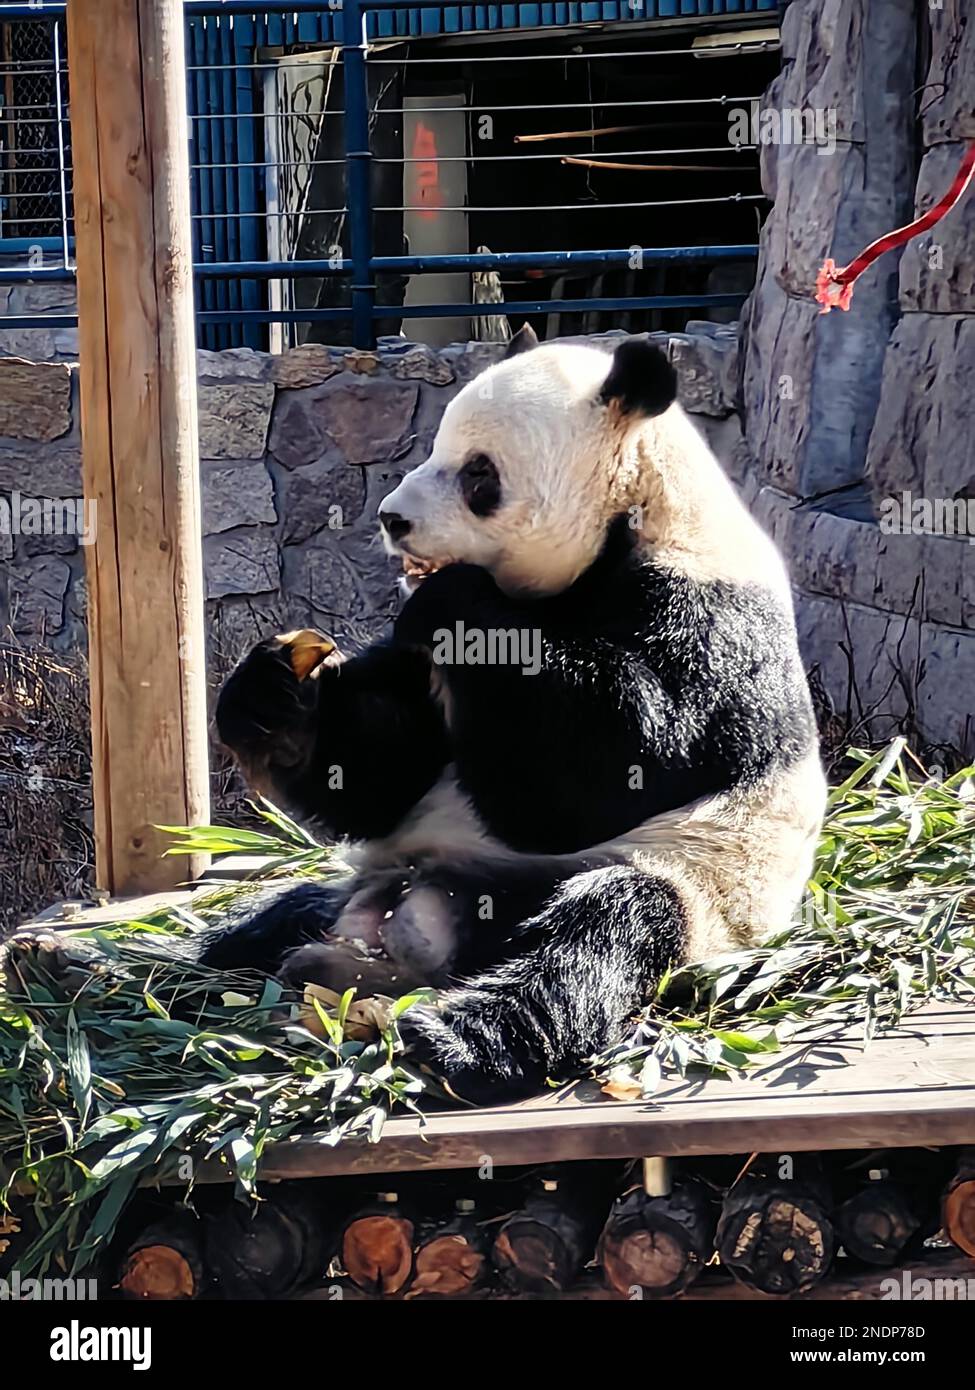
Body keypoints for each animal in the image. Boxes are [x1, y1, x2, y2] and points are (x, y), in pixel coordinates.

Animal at [201, 327, 826, 1105]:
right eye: (433, 448)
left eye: (478, 474)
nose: (392, 519)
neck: (632, 518)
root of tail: (423, 934)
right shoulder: (427, 675)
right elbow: (385, 776)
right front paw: (275, 695)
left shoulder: (705, 619)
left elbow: (603, 775)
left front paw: (450, 597)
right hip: (376, 876)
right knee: (278, 915)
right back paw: (214, 957)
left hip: (677, 884)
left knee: (599, 935)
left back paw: (454, 1040)